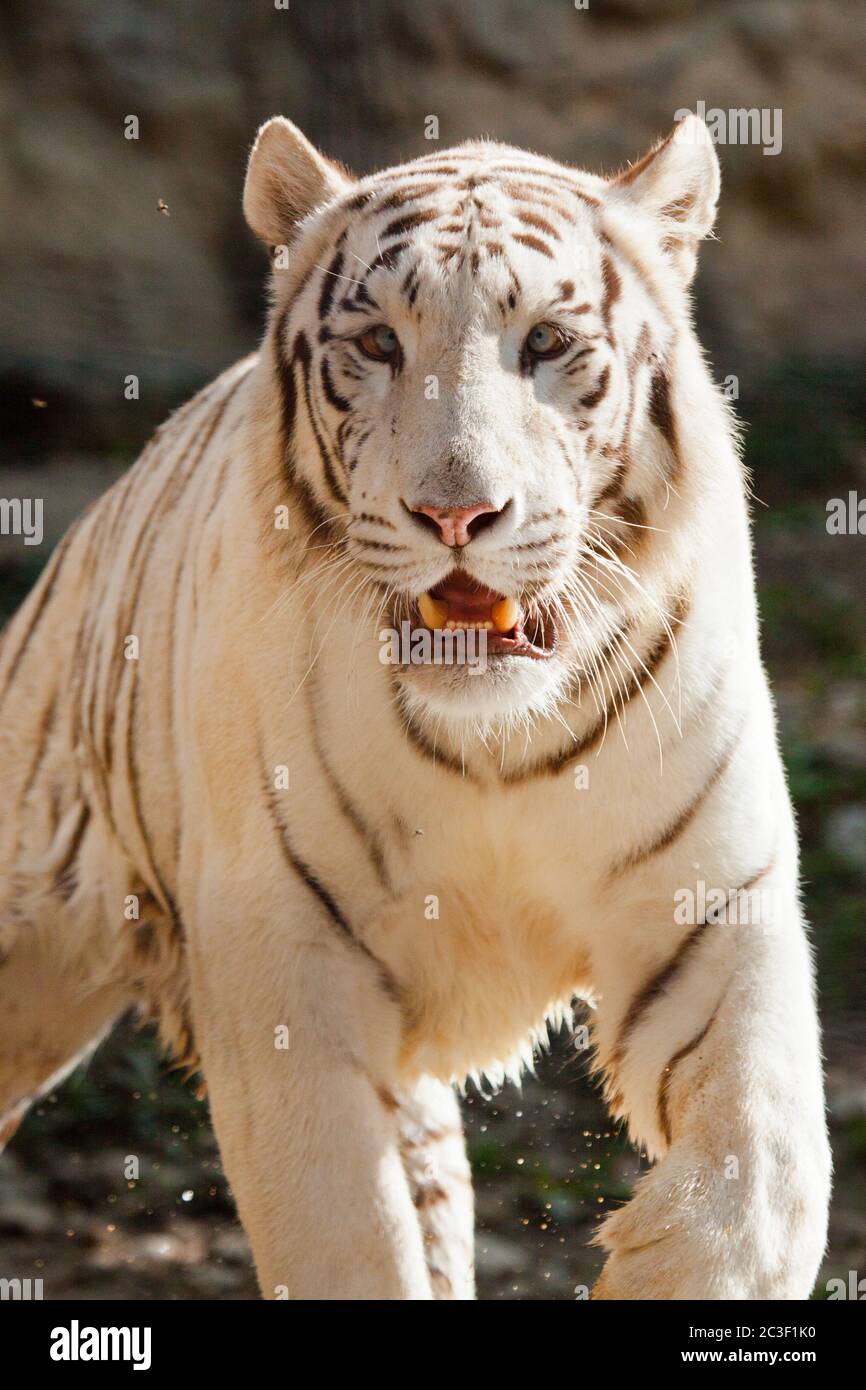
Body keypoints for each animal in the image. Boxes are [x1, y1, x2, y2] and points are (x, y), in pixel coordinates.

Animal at [0, 112, 831, 1300]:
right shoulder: (286, 963)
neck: (496, 745)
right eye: (379, 344)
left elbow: (761, 1175)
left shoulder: (711, 906)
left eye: (545, 343)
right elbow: (343, 1231)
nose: (456, 514)